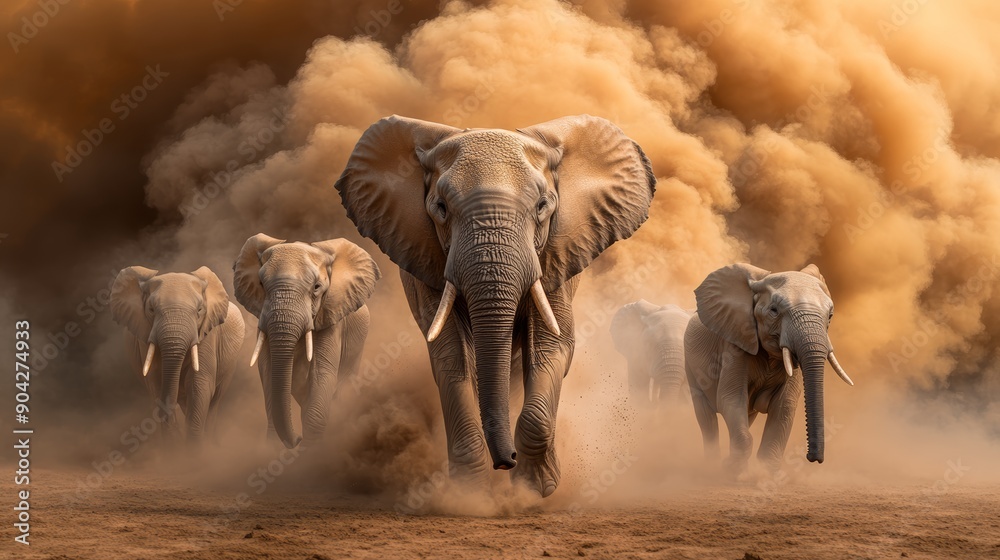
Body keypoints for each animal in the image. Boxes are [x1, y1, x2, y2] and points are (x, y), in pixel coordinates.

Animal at [110, 266, 245, 441]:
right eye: (151, 309)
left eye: (199, 310)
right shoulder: (145, 336)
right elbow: (157, 383)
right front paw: (172, 443)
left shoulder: (207, 334)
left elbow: (199, 385)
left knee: (215, 400)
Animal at [233, 234, 380, 449]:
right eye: (261, 284)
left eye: (316, 287)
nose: (297, 439)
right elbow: (268, 371)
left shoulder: (331, 317)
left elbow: (322, 373)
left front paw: (310, 451)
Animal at [335, 114, 655, 496]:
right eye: (441, 208)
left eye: (542, 206)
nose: (506, 461)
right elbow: (451, 357)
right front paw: (467, 494)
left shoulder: (556, 256)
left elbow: (551, 348)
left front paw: (535, 490)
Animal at [684, 263, 854, 472]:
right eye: (774, 310)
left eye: (830, 316)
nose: (813, 458)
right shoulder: (734, 345)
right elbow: (729, 398)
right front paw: (731, 469)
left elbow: (784, 406)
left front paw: (763, 472)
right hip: (690, 365)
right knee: (706, 417)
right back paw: (711, 464)